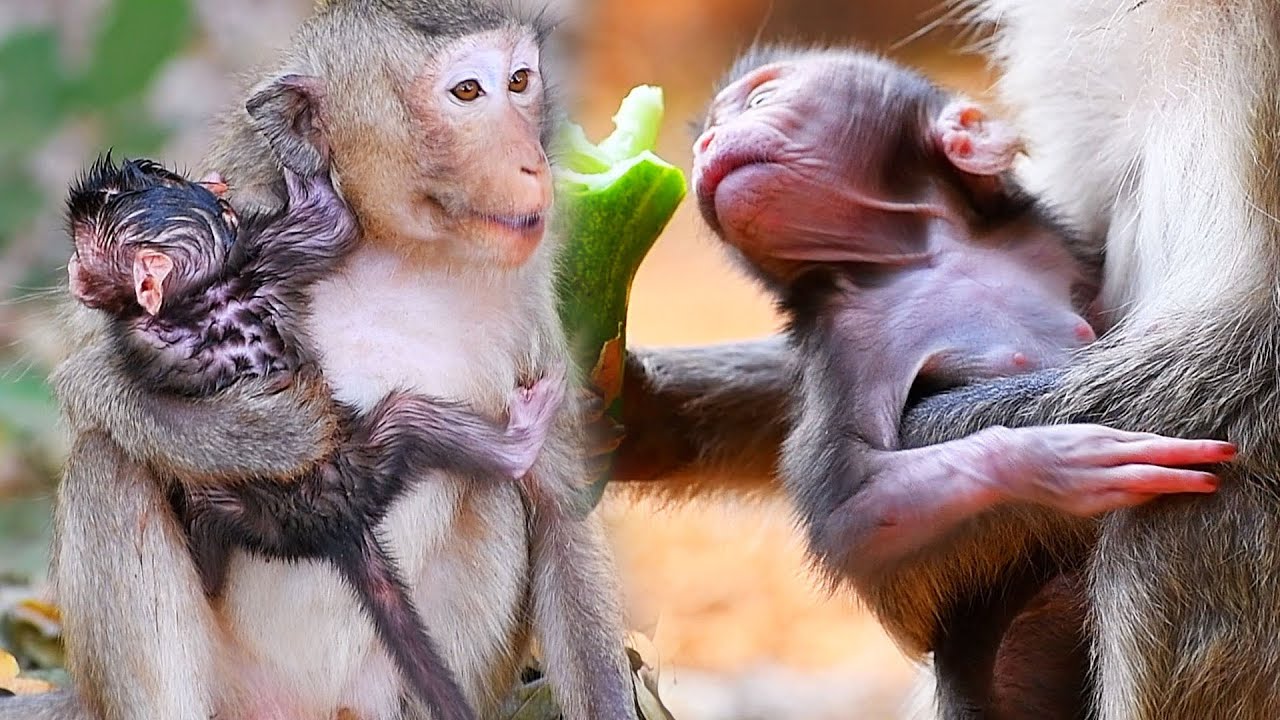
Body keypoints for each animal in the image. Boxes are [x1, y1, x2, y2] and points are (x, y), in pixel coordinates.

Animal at [63, 151, 575, 720]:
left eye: (86, 246)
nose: (74, 273)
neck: (207, 292)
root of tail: (340, 518)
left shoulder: (245, 266)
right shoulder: (258, 260)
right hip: (343, 476)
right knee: (405, 418)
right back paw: (515, 447)